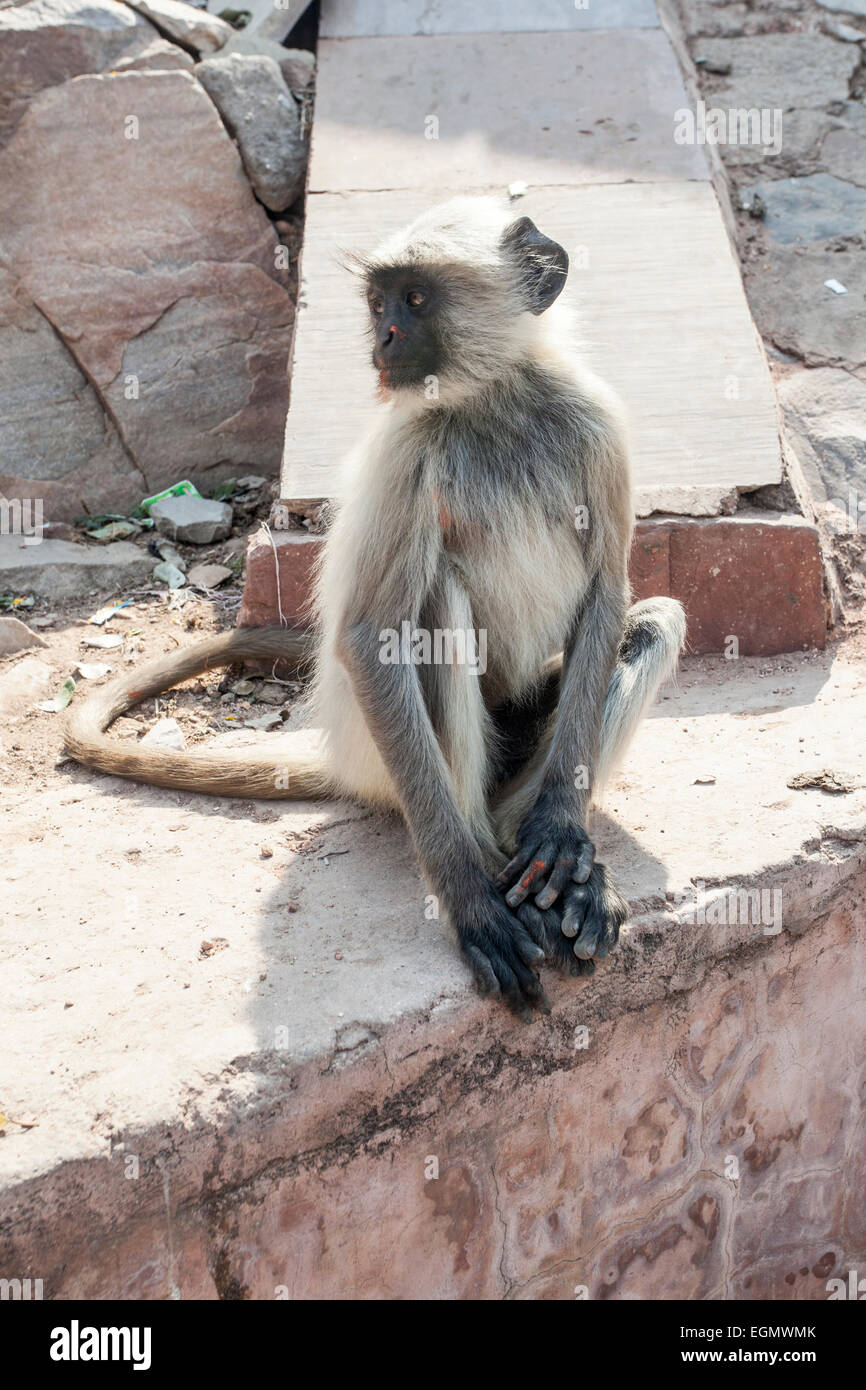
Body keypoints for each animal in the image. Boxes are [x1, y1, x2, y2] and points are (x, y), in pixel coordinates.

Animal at [65, 197, 685, 1020]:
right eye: (378, 302)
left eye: (415, 299)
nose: (383, 336)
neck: (492, 401)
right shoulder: (407, 450)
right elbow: (369, 638)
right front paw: (468, 900)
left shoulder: (597, 423)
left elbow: (607, 597)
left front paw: (560, 830)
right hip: (395, 762)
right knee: (432, 606)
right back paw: (483, 863)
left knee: (650, 625)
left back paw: (553, 862)